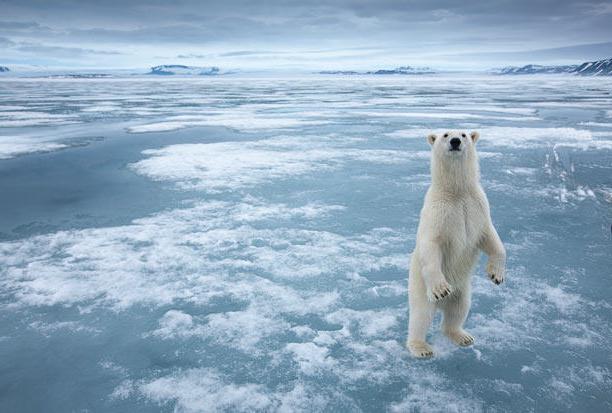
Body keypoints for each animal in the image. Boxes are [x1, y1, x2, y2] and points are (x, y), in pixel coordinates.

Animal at [406, 130, 506, 358]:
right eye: (445, 134)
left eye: (464, 134)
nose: (455, 141)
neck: (457, 192)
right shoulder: (438, 212)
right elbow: (431, 245)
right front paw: (442, 288)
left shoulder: (478, 206)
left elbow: (490, 238)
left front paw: (496, 275)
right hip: (420, 286)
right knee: (421, 315)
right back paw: (421, 347)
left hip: (463, 289)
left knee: (459, 310)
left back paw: (462, 336)